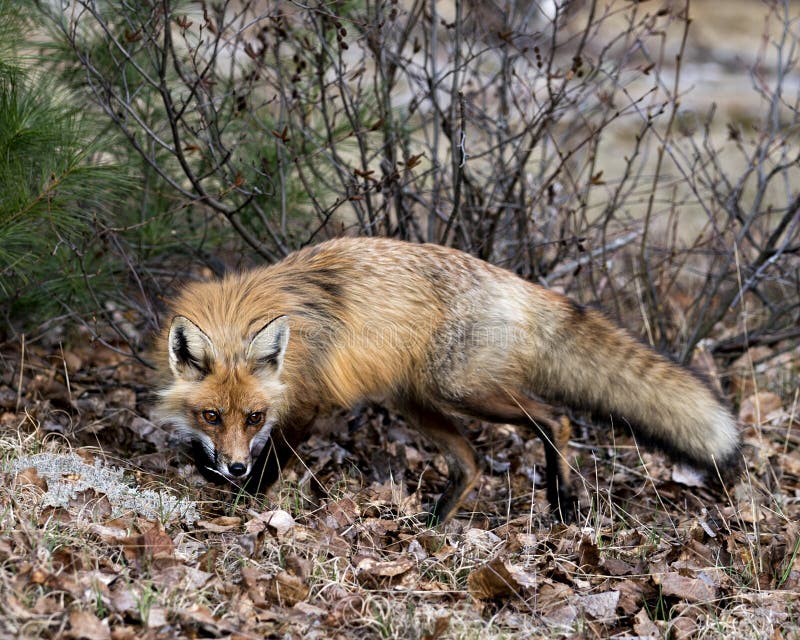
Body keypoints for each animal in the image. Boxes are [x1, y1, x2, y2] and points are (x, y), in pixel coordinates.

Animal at [154, 237, 740, 523]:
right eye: (211, 415)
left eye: (255, 416)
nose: (233, 465)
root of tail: (520, 283)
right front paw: (215, 476)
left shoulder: (304, 405)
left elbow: (272, 465)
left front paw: (240, 501)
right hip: (418, 403)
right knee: (473, 462)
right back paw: (435, 522)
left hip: (461, 392)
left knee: (555, 418)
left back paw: (561, 500)